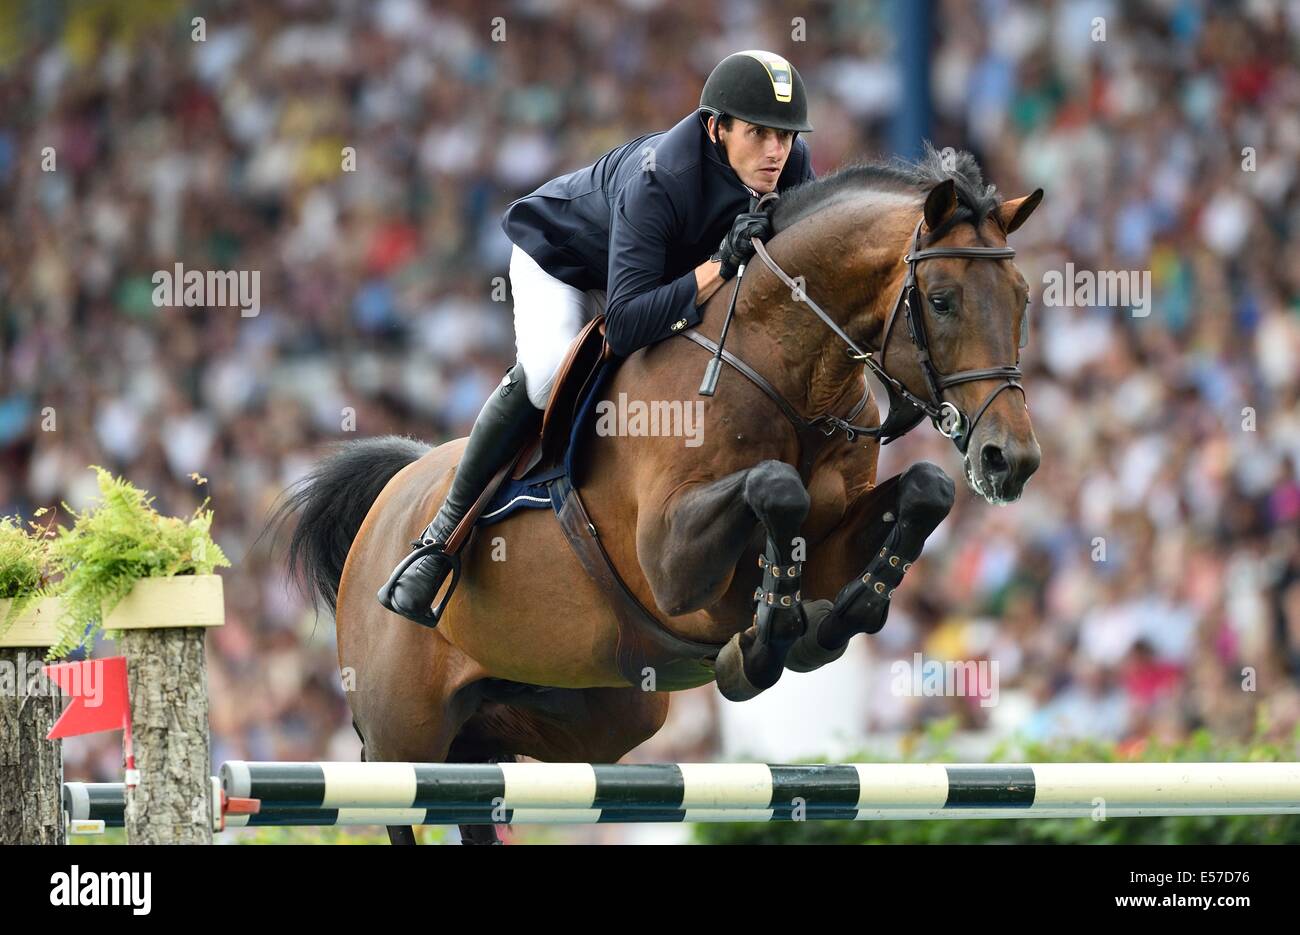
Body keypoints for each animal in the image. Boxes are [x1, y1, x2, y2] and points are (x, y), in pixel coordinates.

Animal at [271, 148, 1043, 844]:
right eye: (941, 301)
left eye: (1024, 299)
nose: (1011, 460)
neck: (788, 372)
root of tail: (391, 496)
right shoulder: (671, 564)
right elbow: (777, 488)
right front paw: (763, 644)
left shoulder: (828, 540)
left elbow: (924, 490)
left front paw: (838, 616)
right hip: (403, 732)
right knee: (395, 789)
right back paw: (423, 569)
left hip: (591, 715)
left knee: (481, 783)